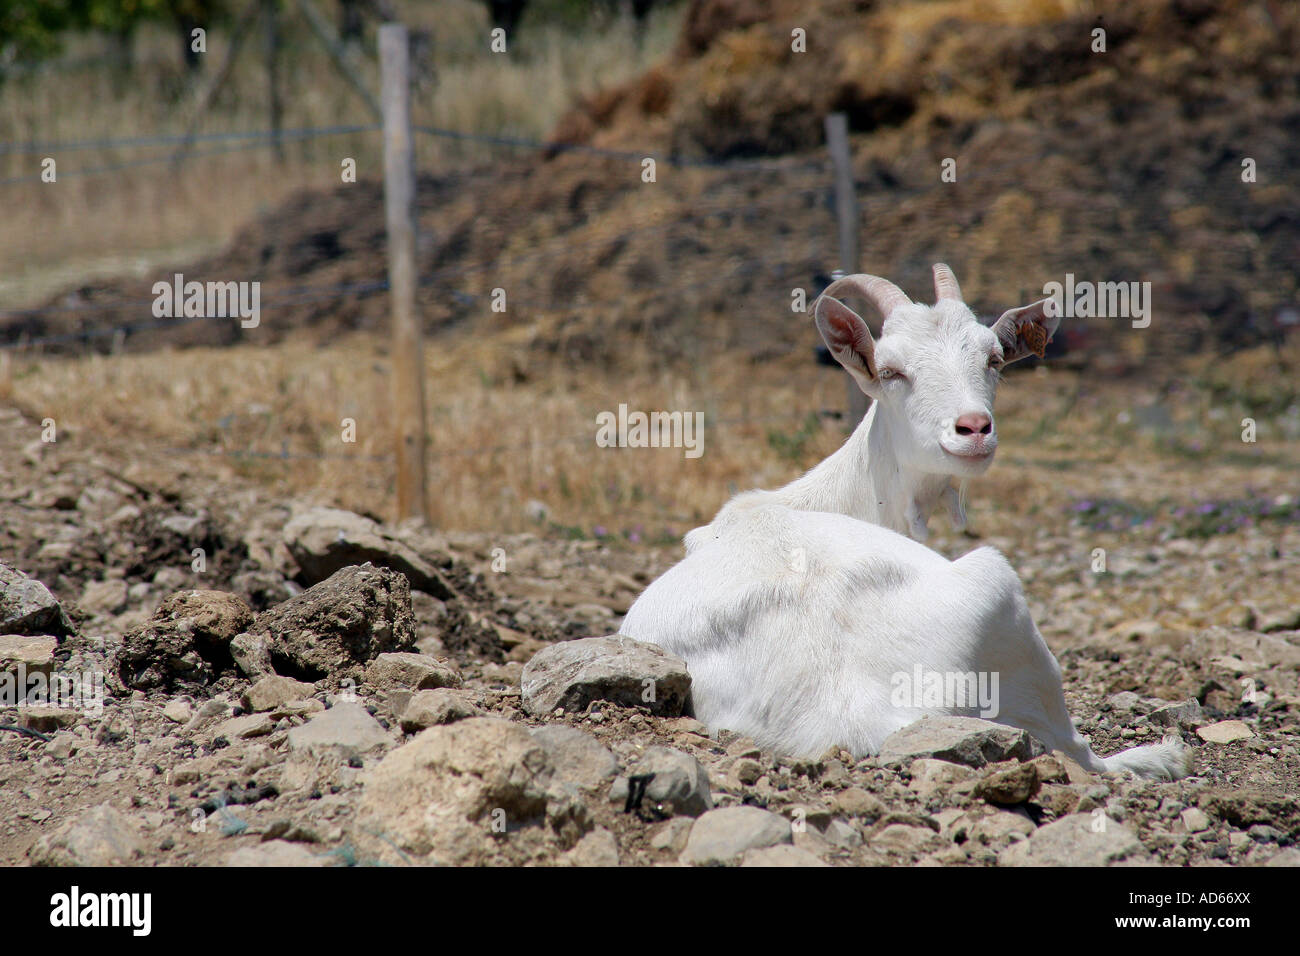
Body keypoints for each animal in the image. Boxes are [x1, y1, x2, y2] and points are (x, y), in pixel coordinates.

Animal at [621, 266, 1191, 780]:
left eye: (994, 359)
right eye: (891, 371)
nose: (973, 429)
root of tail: (858, 709)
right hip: (1003, 594)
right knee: (1085, 755)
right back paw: (1158, 755)